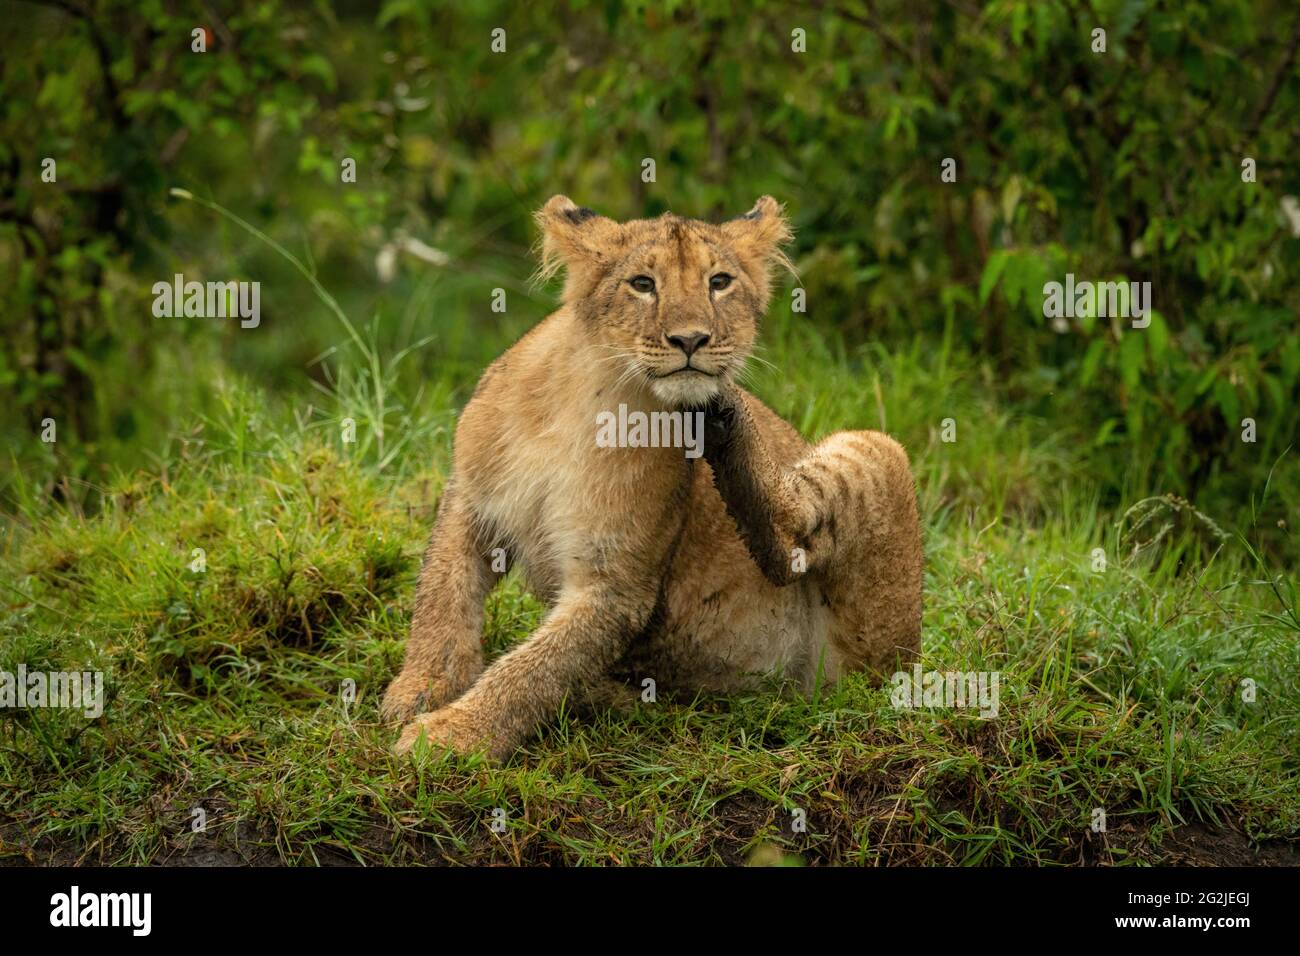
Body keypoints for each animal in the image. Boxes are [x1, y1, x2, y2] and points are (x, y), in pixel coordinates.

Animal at [381, 195, 922, 759]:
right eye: (642, 283)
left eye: (719, 281)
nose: (691, 339)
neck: (586, 405)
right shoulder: (468, 504)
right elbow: (441, 600)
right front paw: (421, 689)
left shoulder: (615, 584)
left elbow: (537, 668)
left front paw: (450, 735)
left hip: (878, 476)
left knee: (790, 543)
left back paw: (723, 414)